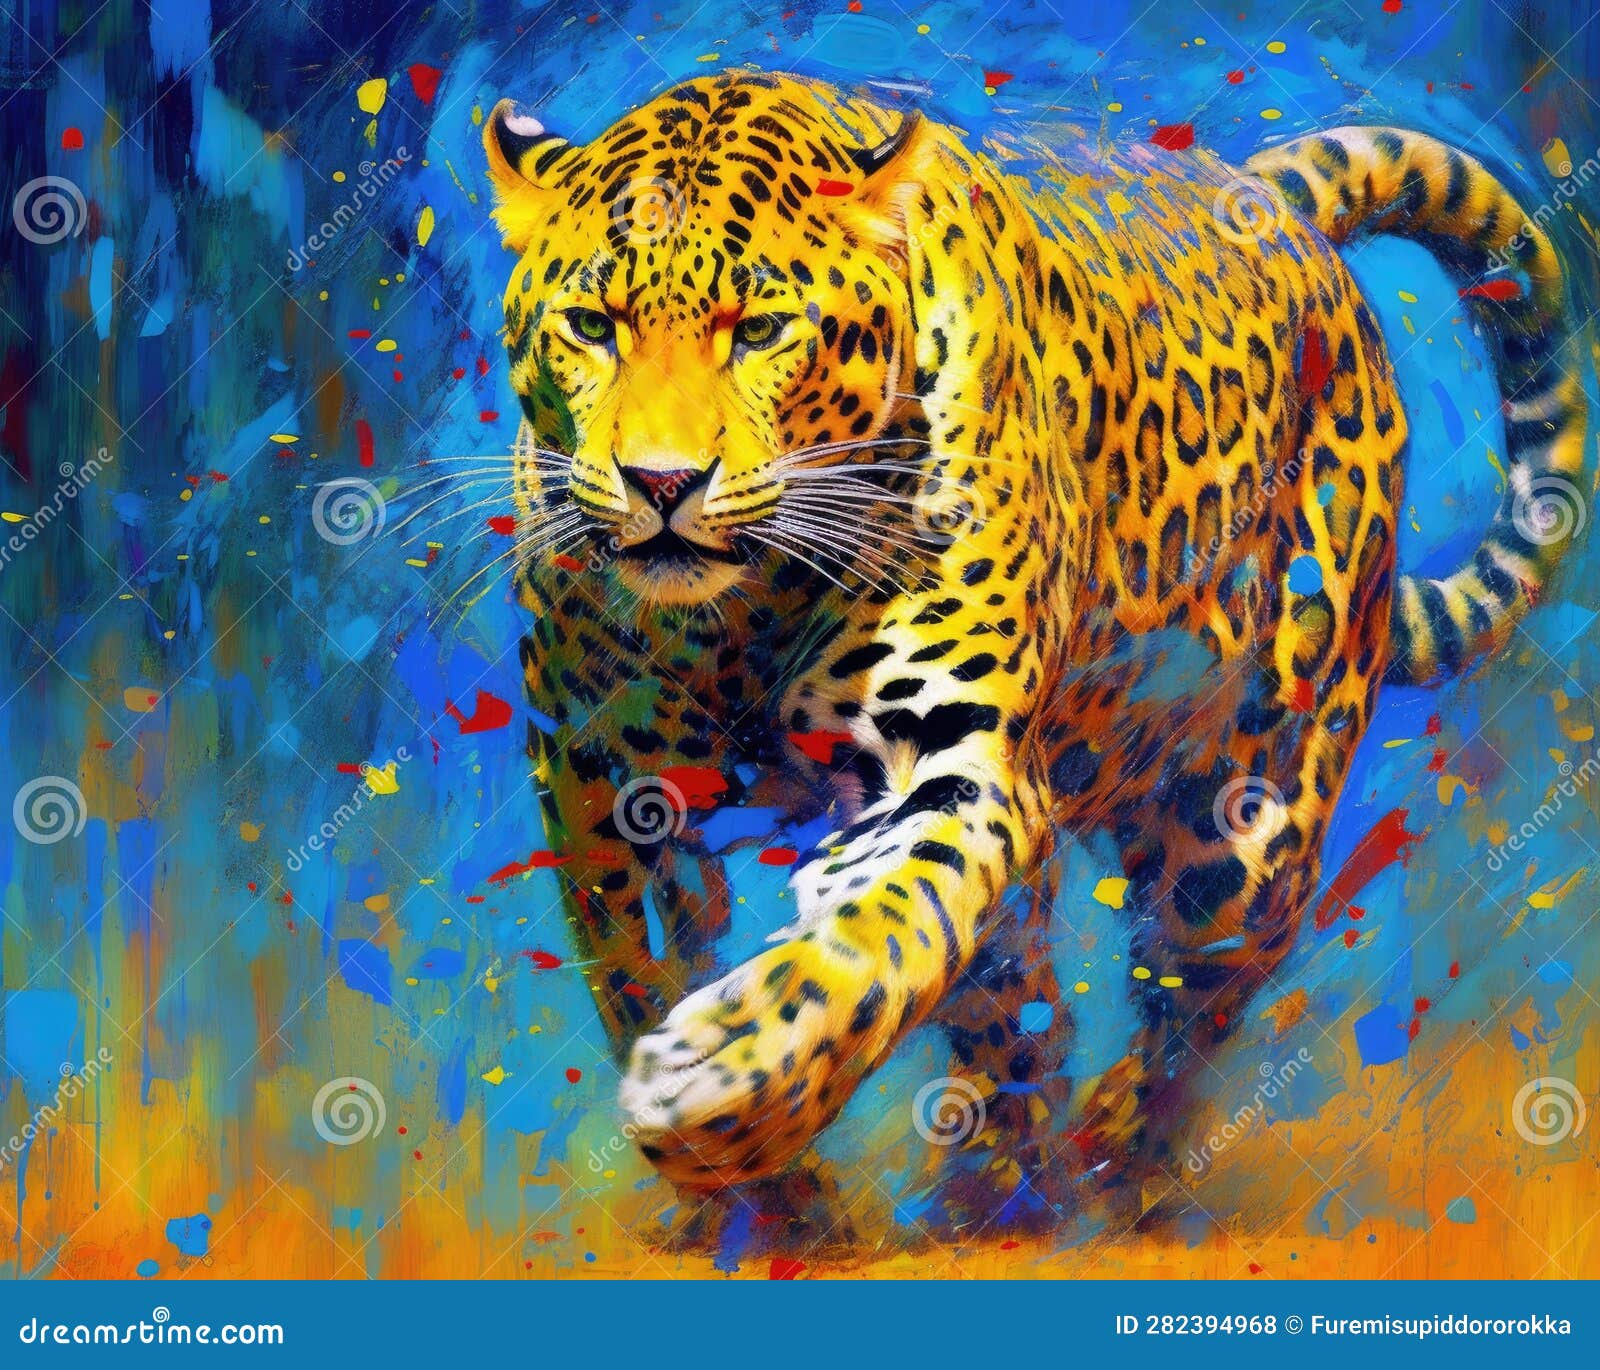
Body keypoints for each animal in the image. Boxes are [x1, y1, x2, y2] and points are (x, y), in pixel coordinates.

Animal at [480, 70, 1587, 1216]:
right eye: (591, 324)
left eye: (762, 329)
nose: (661, 483)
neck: (748, 608)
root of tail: (1270, 198)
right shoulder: (596, 771)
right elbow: (630, 961)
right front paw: (759, 1192)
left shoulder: (960, 763)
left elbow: (880, 929)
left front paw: (727, 1078)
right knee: (1022, 1015)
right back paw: (999, 1174)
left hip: (1250, 828)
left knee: (1192, 996)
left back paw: (1108, 1161)